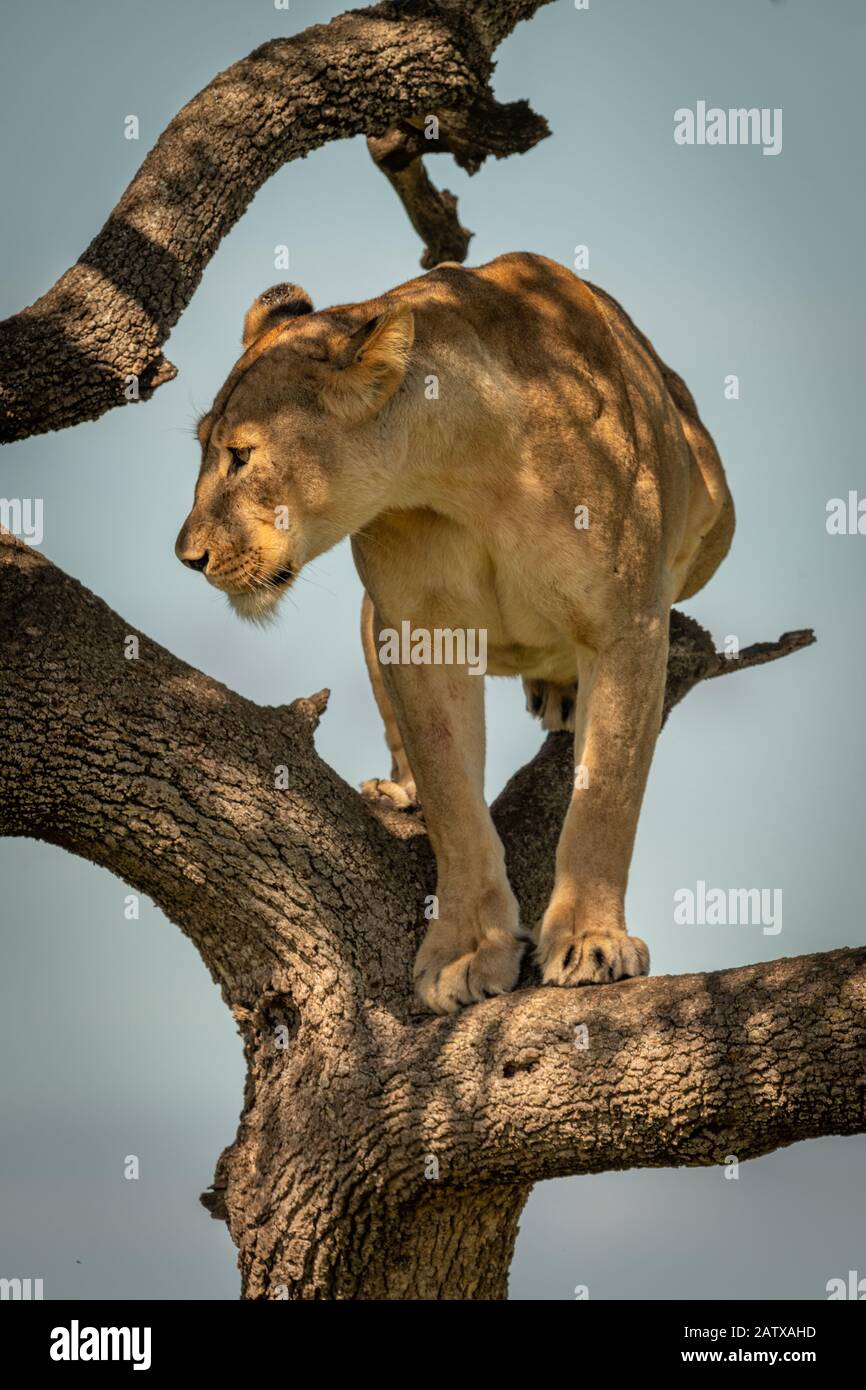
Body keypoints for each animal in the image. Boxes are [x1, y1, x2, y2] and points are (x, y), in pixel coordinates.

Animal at [176, 253, 734, 1014]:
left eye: (240, 456)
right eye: (204, 450)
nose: (188, 556)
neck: (461, 473)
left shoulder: (628, 624)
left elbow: (607, 793)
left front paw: (592, 942)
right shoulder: (416, 631)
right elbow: (453, 802)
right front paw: (465, 952)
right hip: (370, 618)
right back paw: (396, 790)